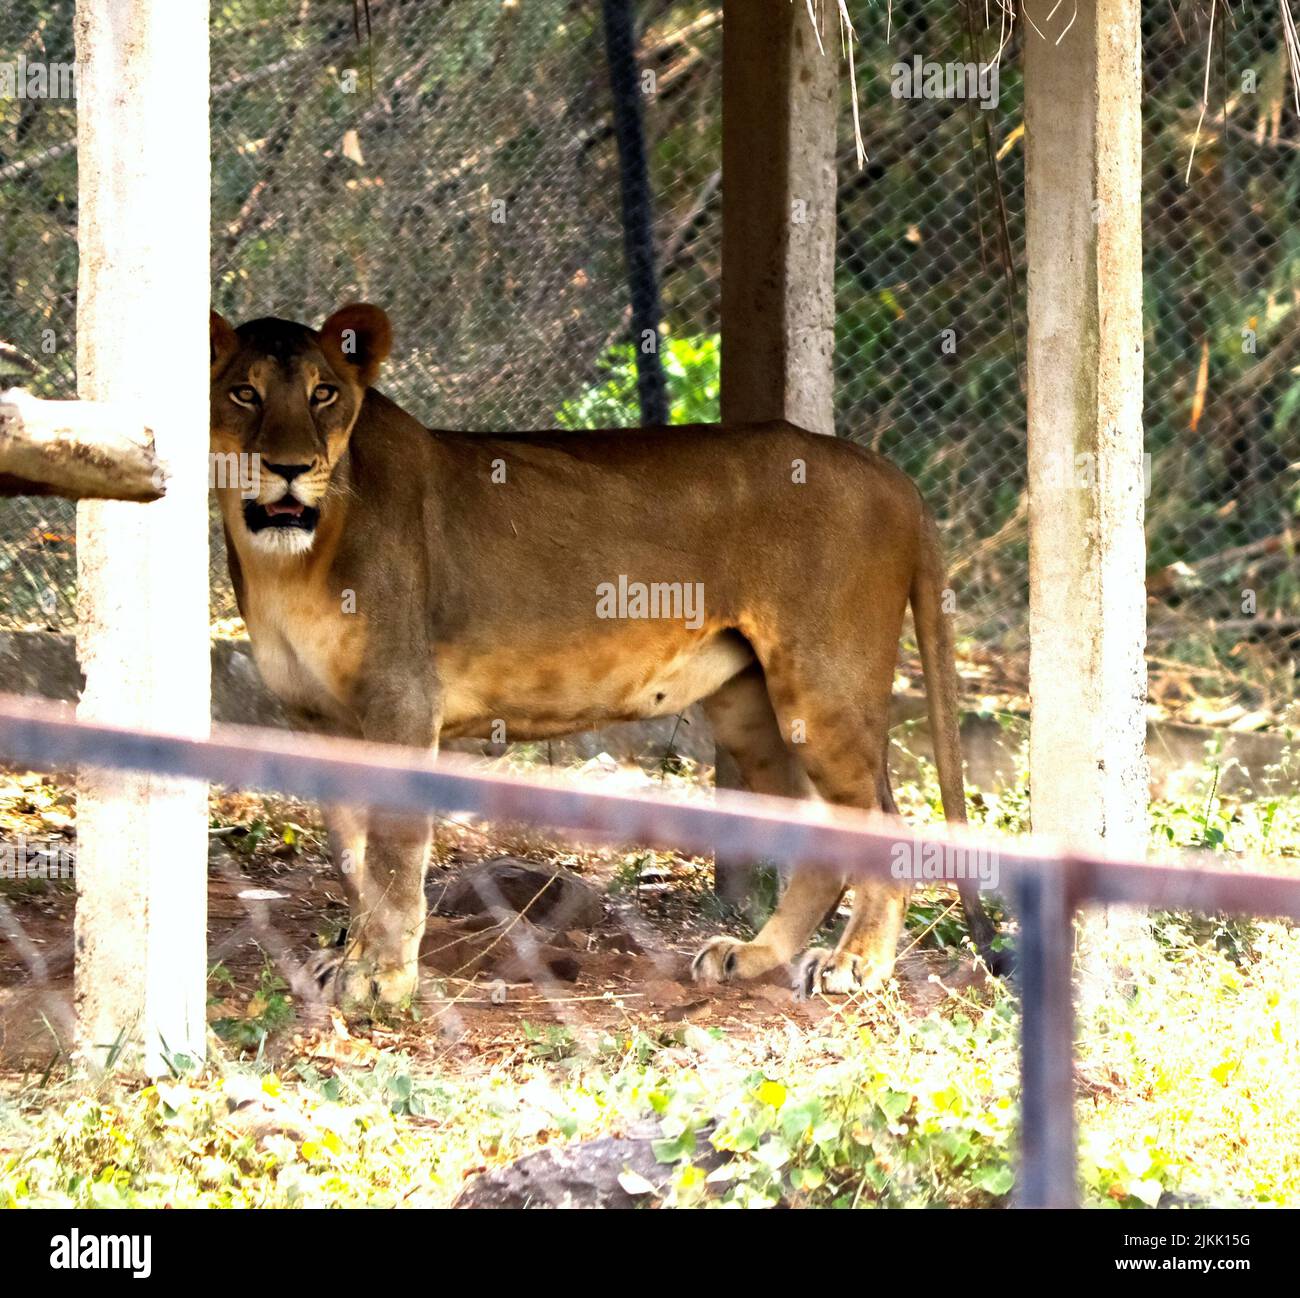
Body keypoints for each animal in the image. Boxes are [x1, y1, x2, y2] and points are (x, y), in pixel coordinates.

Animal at [209, 303, 1003, 1007]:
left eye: (324, 394)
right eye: (244, 391)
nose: (288, 467)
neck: (288, 561)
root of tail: (891, 473)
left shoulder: (401, 697)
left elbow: (393, 853)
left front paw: (379, 980)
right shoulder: (319, 717)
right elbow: (351, 855)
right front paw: (347, 958)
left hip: (823, 687)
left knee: (883, 823)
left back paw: (855, 967)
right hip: (752, 703)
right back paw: (753, 957)